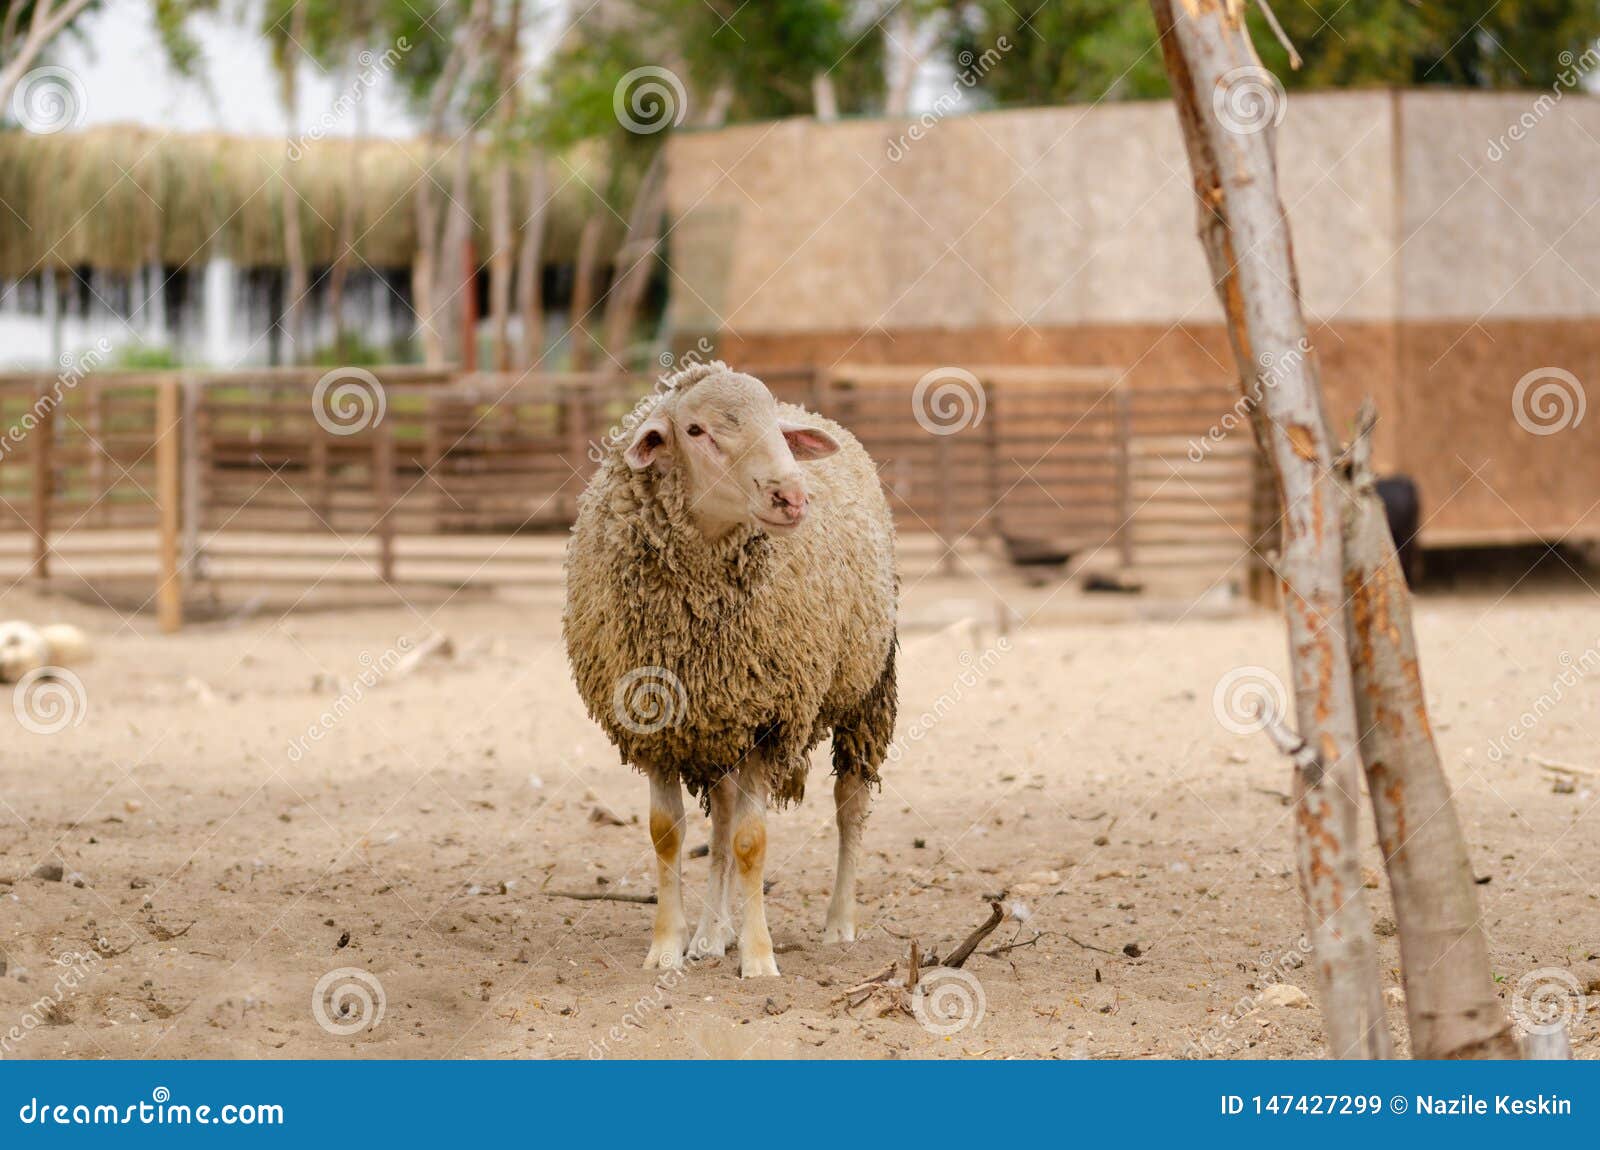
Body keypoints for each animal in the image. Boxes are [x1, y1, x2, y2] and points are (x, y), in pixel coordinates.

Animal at [563, 361, 898, 977]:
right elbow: (669, 836)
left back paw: (838, 922)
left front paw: (759, 956)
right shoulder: (657, 723)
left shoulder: (771, 719)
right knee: (718, 819)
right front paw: (667, 947)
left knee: (851, 806)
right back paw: (710, 934)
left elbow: (750, 841)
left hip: (867, 690)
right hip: (719, 724)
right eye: (696, 430)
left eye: (774, 429)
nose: (791, 496)